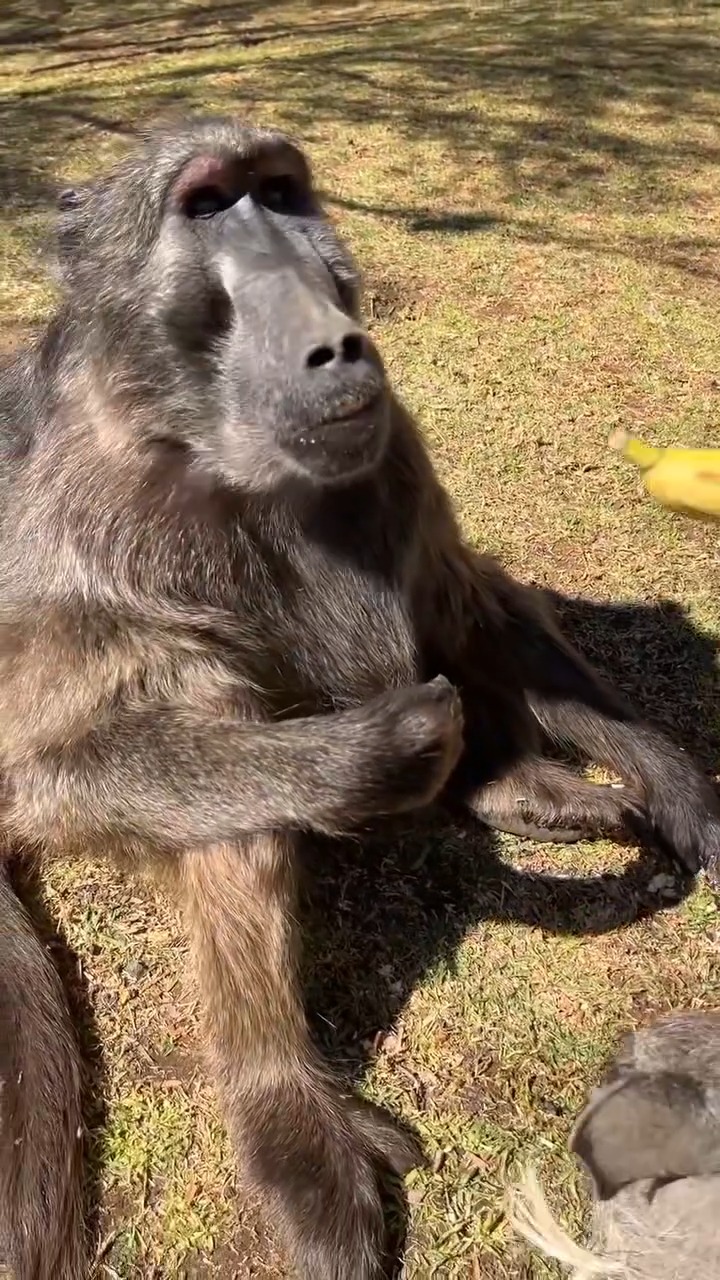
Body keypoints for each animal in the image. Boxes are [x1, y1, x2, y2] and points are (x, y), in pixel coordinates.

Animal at [0, 115, 717, 1280]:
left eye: (282, 192)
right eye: (207, 205)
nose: (333, 339)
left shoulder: (398, 458)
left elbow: (464, 599)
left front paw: (670, 777)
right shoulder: (93, 529)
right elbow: (49, 767)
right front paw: (383, 750)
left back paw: (522, 788)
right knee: (222, 757)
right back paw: (290, 1112)